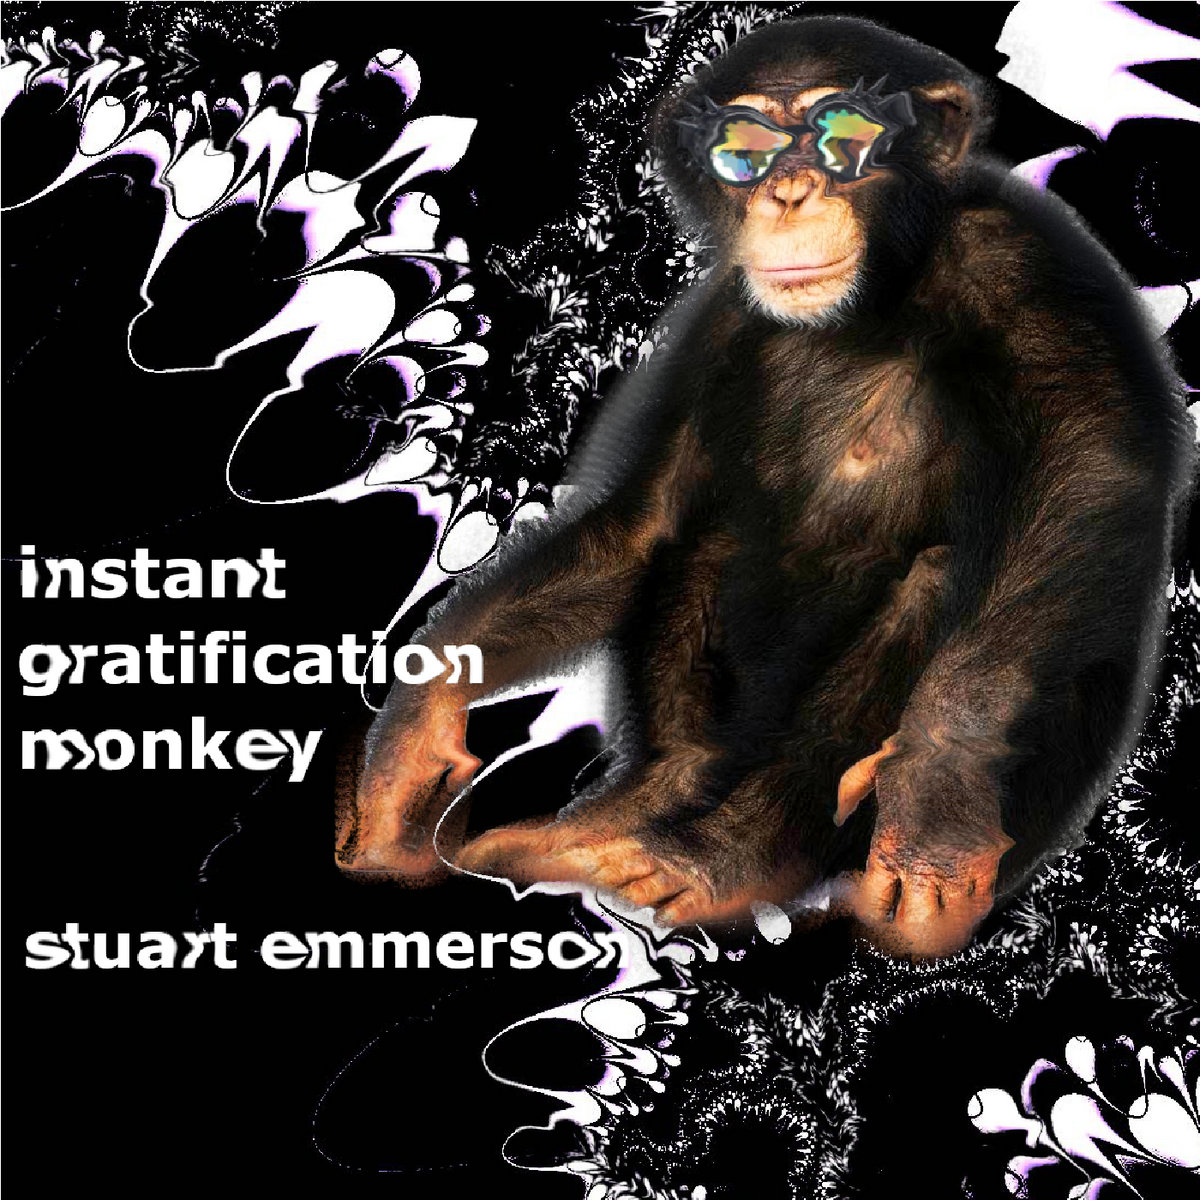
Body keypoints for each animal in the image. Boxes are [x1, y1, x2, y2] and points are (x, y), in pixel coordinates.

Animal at [336, 17, 1192, 958]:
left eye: (846, 137)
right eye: (743, 152)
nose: (789, 190)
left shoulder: (1021, 263)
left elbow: (1089, 465)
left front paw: (936, 796)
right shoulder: (713, 321)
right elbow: (647, 518)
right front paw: (413, 731)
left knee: (938, 583)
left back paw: (728, 858)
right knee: (699, 547)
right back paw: (627, 816)